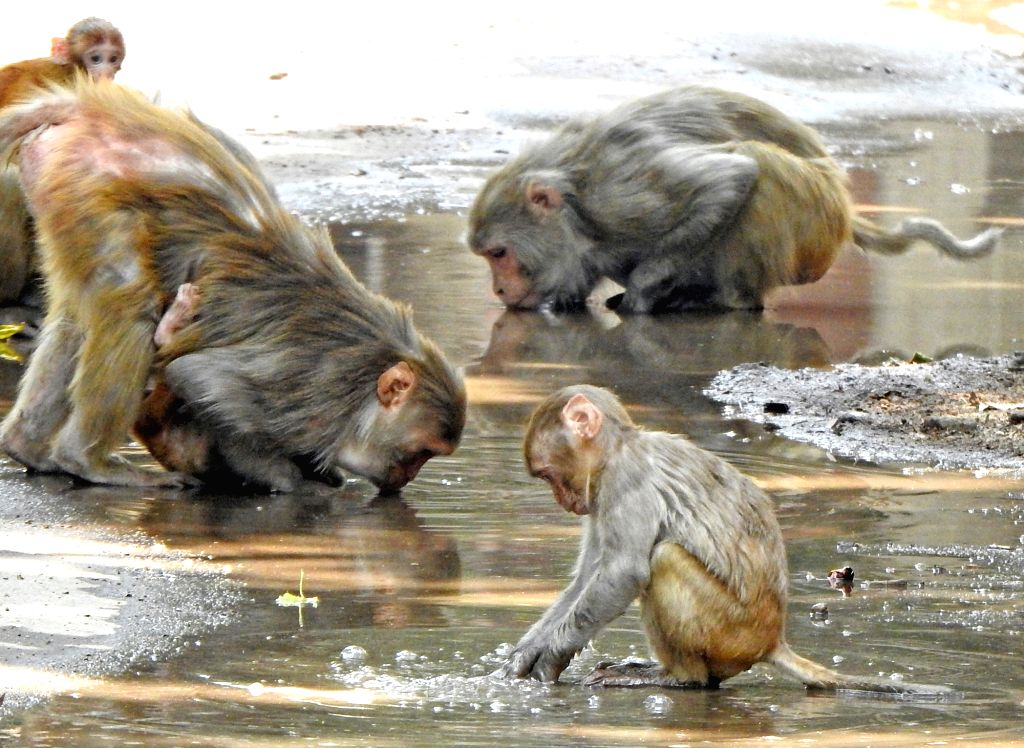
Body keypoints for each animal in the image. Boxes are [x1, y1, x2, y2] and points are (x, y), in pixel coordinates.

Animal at [0, 80, 466, 492]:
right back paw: (86, 460)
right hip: (86, 182)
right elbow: (197, 379)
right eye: (419, 453)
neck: (360, 382)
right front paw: (290, 480)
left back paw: (26, 447)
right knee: (131, 307)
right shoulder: (302, 390)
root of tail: (86, 106)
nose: (406, 480)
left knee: (76, 316)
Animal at [468, 86, 1001, 313]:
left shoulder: (621, 192)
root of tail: (847, 211)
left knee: (757, 165)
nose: (497, 290)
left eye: (499, 254)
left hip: (814, 225)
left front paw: (642, 293)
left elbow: (728, 180)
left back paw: (726, 300)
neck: (578, 209)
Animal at [498, 384, 954, 697]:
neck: (620, 447)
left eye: (549, 476)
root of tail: (772, 641)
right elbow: (587, 577)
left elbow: (623, 571)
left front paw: (551, 661)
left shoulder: (625, 481)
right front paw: (525, 654)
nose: (563, 501)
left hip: (732, 632)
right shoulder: (600, 496)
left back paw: (679, 678)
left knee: (664, 559)